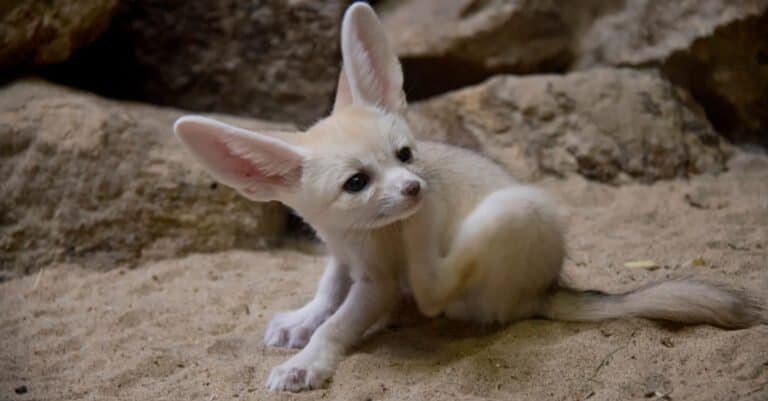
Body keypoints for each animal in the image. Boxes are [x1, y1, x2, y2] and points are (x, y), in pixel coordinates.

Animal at [172, 2, 762, 392]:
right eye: (356, 182)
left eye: (405, 154)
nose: (414, 187)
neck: (355, 236)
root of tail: (547, 289)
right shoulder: (341, 255)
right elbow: (326, 293)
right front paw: (301, 321)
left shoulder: (377, 280)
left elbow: (340, 322)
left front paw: (309, 361)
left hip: (510, 213)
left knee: (434, 292)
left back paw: (423, 233)